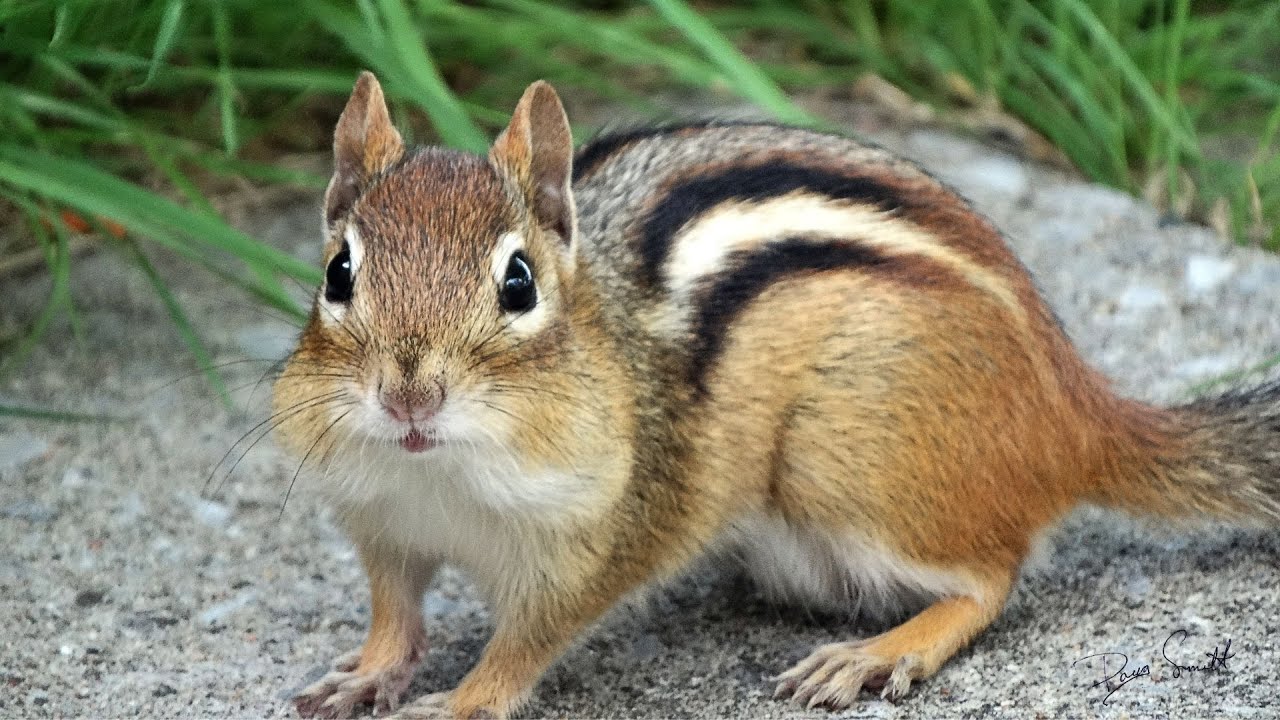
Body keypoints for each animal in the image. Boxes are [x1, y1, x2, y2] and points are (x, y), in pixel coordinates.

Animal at [272, 72, 1280, 719]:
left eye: (518, 284)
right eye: (337, 273)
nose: (409, 397)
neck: (439, 476)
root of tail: (1075, 408)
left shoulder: (596, 540)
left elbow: (523, 645)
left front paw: (457, 701)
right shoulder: (383, 523)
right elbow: (394, 614)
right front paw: (364, 676)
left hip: (842, 463)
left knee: (993, 575)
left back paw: (879, 652)